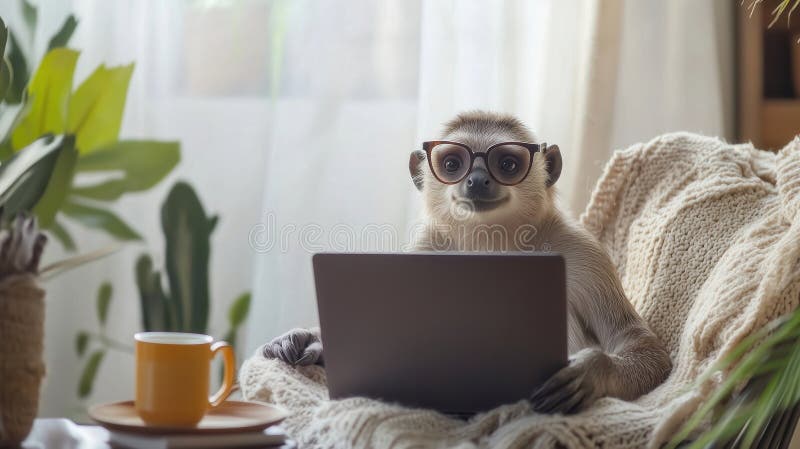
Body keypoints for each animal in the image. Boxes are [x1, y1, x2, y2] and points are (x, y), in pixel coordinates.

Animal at [261, 111, 671, 414]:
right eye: (452, 163)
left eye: (507, 164)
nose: (475, 180)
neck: (494, 243)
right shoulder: (426, 249)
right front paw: (309, 340)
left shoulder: (581, 252)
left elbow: (636, 340)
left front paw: (592, 370)